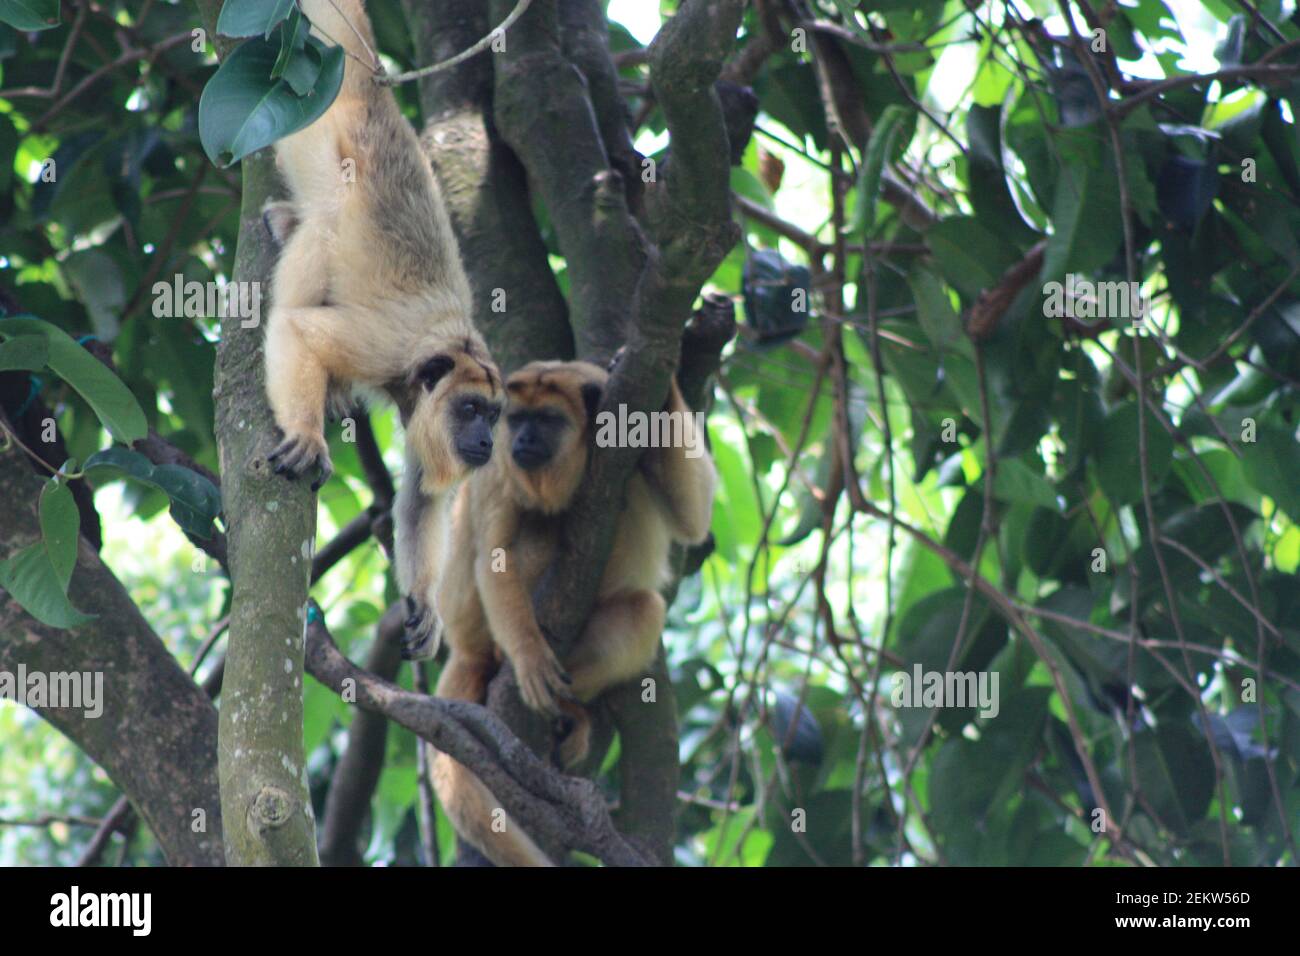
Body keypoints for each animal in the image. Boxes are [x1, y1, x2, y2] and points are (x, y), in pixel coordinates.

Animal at [260, 0, 501, 494]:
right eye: (469, 409)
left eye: (492, 415)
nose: (487, 442)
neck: (448, 339)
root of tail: (373, 99)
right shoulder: (388, 345)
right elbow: (295, 328)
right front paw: (306, 432)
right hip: (316, 134)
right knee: (328, 215)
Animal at [427, 360, 717, 866]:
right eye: (517, 419)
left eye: (547, 420)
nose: (523, 440)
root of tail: (463, 649)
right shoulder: (496, 467)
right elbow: (496, 555)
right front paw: (527, 656)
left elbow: (693, 518)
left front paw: (663, 383)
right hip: (481, 631)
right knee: (539, 529)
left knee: (645, 609)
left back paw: (572, 708)